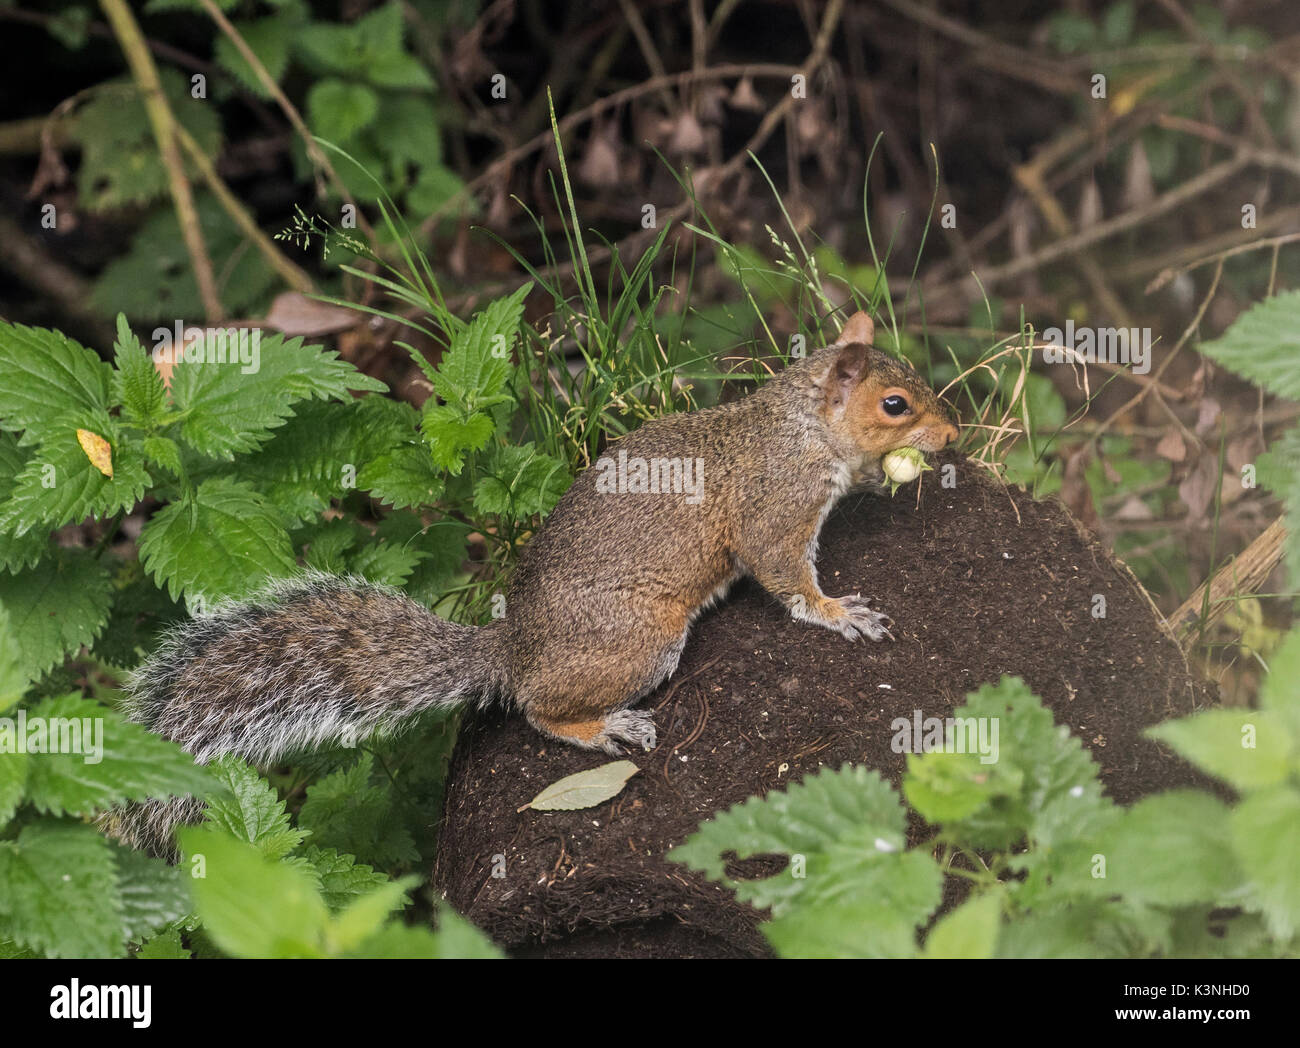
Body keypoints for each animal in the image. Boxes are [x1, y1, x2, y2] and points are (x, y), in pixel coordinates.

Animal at [107, 311, 957, 849]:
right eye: (894, 402)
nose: (951, 435)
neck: (801, 428)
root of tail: (514, 649)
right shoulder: (775, 512)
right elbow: (784, 573)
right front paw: (837, 611)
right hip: (639, 642)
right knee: (539, 710)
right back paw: (606, 727)